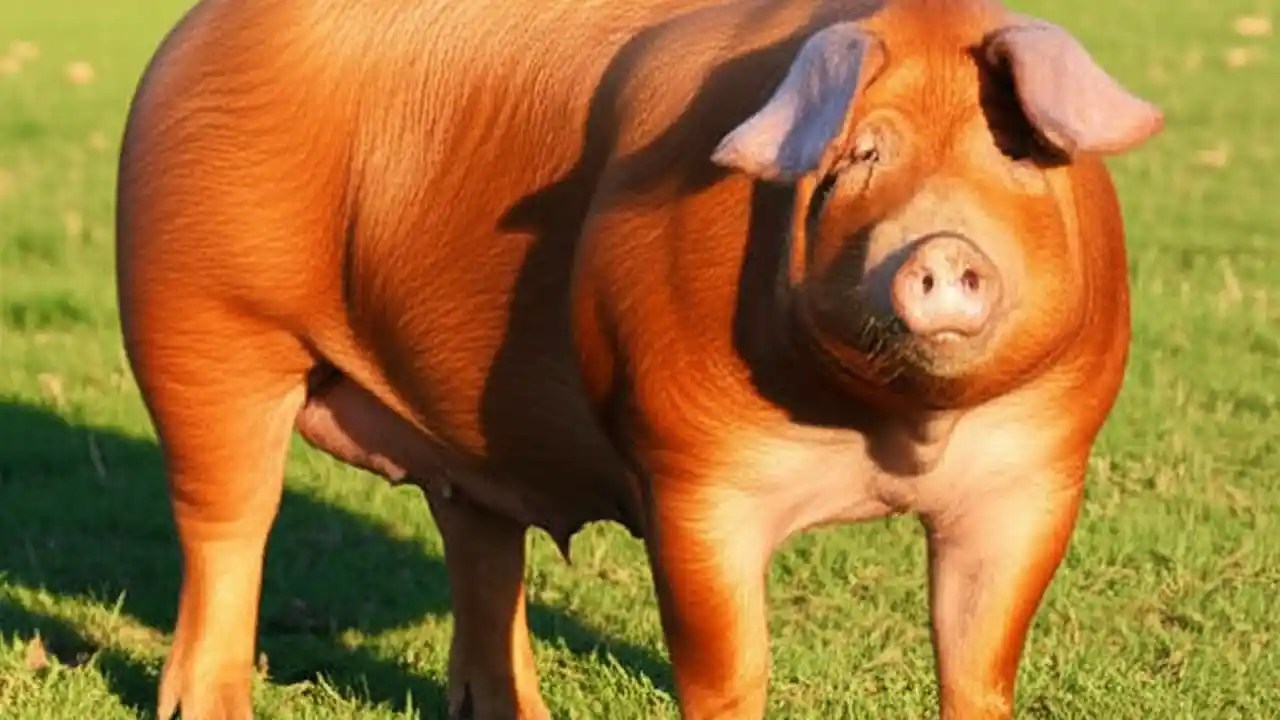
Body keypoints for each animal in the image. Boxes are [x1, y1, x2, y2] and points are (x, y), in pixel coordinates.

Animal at [114, 0, 1163, 717]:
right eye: (862, 154)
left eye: (1014, 153)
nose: (943, 247)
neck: (897, 430)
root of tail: (194, 33)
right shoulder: (693, 470)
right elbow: (727, 664)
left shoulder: (1037, 473)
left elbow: (979, 659)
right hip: (201, 323)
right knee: (227, 526)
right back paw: (209, 707)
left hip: (465, 434)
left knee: (481, 552)